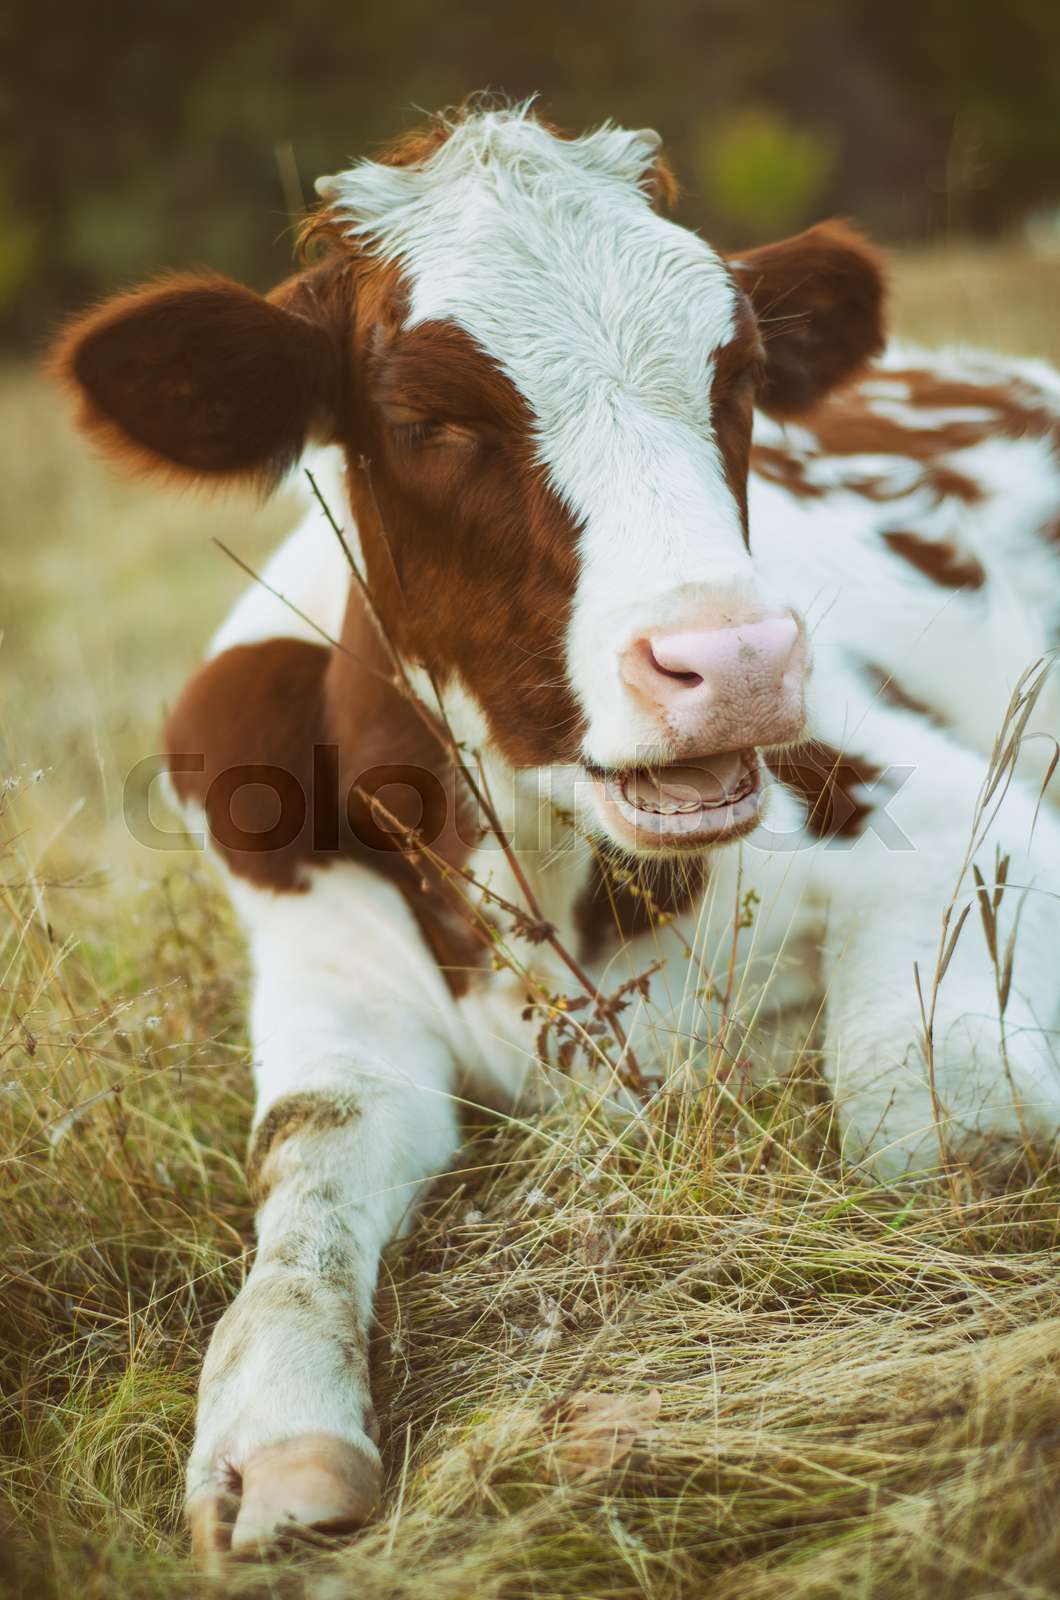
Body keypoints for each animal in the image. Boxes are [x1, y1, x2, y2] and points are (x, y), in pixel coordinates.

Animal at [52, 102, 1060, 1559]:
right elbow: (306, 1154)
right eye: (427, 418)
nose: (737, 659)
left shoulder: (961, 821)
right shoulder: (319, 970)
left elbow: (929, 1126)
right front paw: (272, 1429)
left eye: (741, 375)